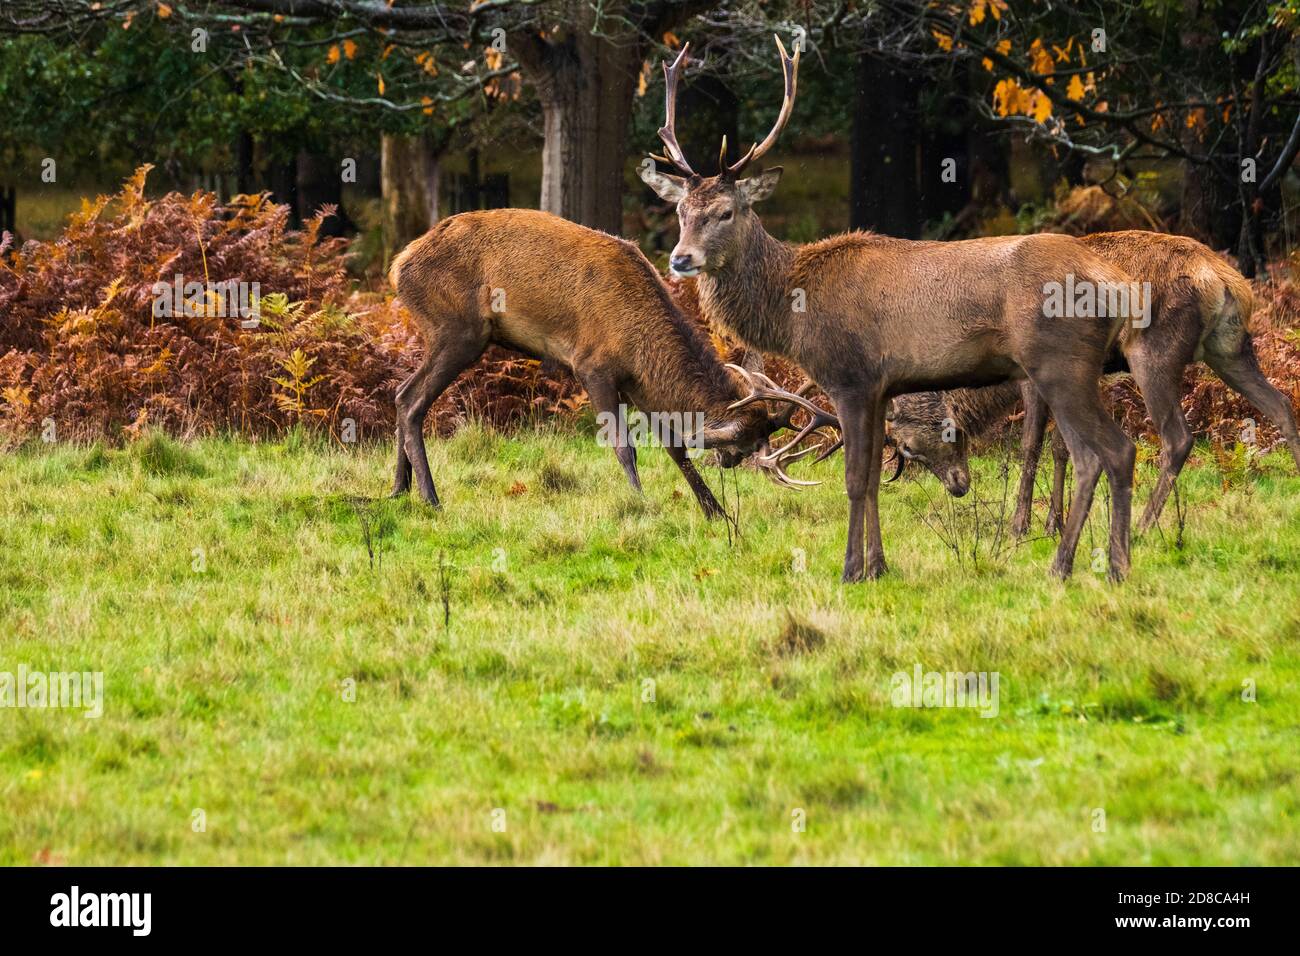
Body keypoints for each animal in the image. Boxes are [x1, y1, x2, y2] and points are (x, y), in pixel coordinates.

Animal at [386, 207, 836, 517]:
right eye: (743, 449)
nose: (726, 462)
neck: (641, 346)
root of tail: (398, 265)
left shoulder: (639, 385)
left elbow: (675, 448)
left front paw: (715, 512)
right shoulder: (593, 366)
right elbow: (624, 446)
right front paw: (642, 502)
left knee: (401, 393)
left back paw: (398, 490)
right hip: (457, 329)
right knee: (411, 399)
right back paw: (430, 497)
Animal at [638, 37, 1144, 582]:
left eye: (726, 212)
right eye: (680, 211)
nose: (680, 258)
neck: (794, 311)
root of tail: (1118, 285)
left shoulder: (851, 377)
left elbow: (855, 479)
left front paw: (848, 570)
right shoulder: (884, 387)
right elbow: (876, 479)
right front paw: (877, 566)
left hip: (1060, 363)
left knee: (1112, 450)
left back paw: (1094, 567)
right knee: (1098, 453)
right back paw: (1086, 564)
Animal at [884, 231, 1300, 534]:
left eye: (909, 447)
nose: (957, 486)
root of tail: (1225, 280)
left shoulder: (1033, 375)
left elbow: (1031, 445)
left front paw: (1020, 525)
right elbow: (1061, 447)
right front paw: (1053, 522)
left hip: (1154, 351)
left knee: (1179, 437)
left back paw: (1144, 525)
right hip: (1229, 350)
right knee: (1281, 404)